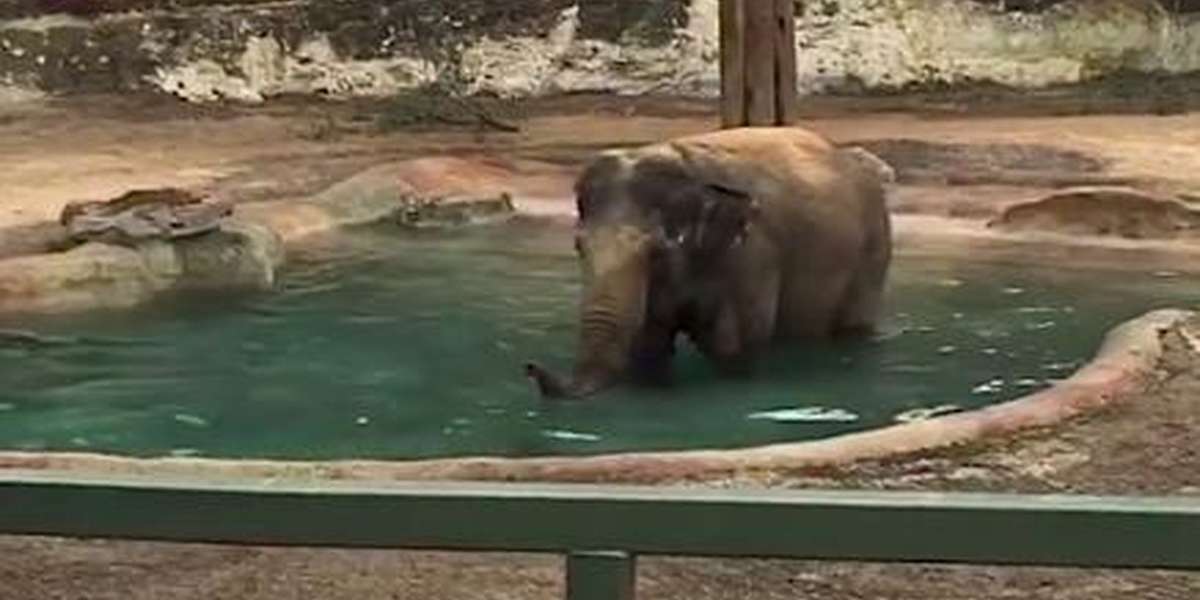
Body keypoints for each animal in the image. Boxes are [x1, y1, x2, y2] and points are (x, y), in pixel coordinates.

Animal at [524, 126, 892, 399]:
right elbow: (649, 348)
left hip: (872, 251)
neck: (681, 161)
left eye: (656, 253)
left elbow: (734, 346)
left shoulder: (753, 254)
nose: (530, 367)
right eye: (578, 247)